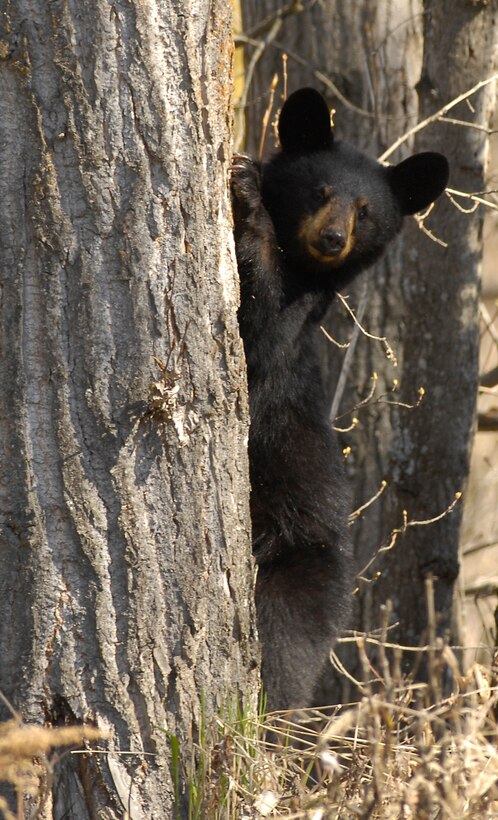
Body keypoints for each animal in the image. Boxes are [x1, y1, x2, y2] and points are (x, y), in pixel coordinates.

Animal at [231, 87, 449, 713]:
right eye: (320, 192)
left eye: (366, 211)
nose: (331, 240)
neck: (306, 268)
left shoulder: (296, 318)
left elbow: (259, 332)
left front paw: (247, 193)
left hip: (297, 572)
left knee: (282, 653)